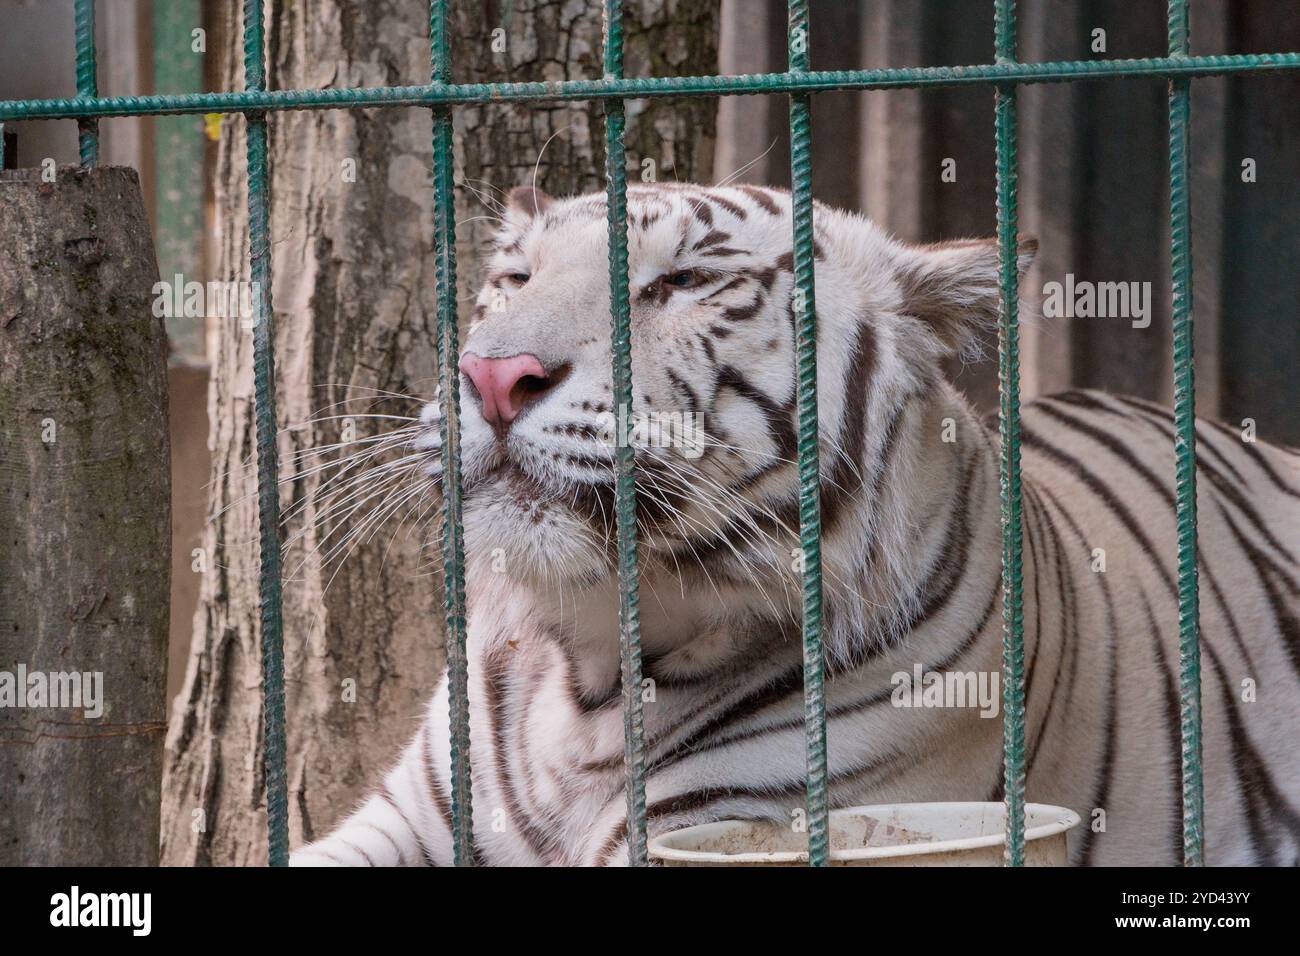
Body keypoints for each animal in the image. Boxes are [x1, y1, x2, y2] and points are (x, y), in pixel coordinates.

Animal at [291, 182, 1300, 867]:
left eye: (685, 281)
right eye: (515, 276)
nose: (494, 377)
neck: (583, 669)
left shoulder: (732, 825)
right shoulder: (406, 817)